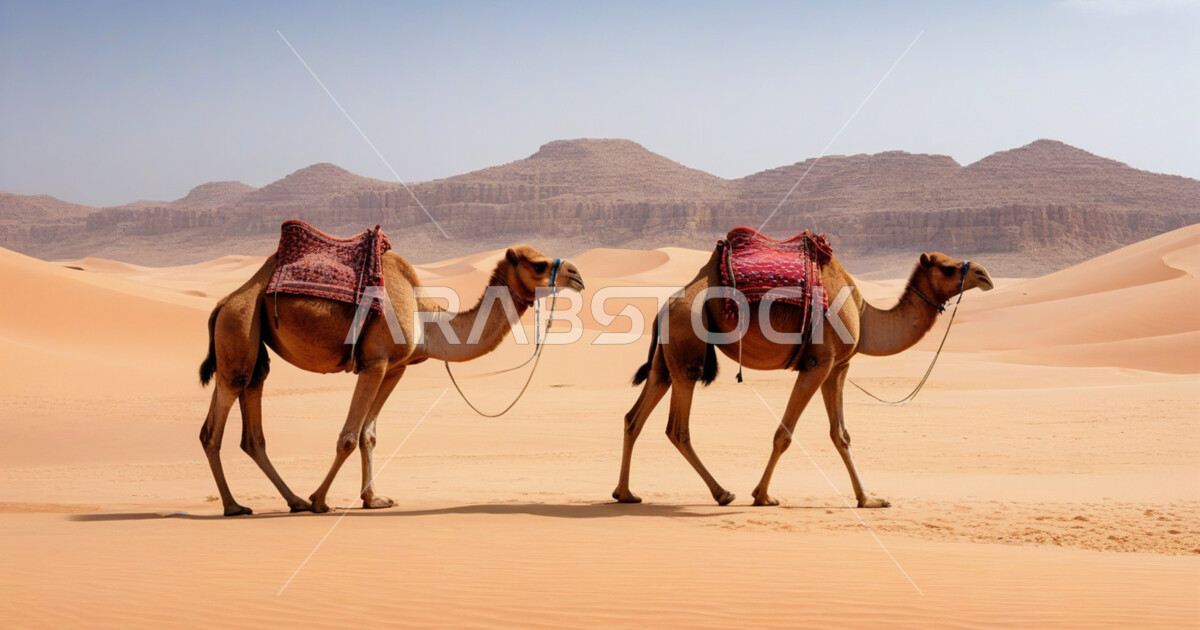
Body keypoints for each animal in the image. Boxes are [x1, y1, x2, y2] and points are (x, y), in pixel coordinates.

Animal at [199, 245, 584, 516]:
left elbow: (368, 435)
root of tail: (222, 302)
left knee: (251, 427)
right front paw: (320, 499)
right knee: (213, 428)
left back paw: (292, 500)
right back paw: (236, 506)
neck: (426, 318)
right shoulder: (374, 364)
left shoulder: (395, 368)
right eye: (539, 264)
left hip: (252, 343)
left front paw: (373, 499)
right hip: (239, 327)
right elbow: (348, 437)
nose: (577, 274)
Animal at [613, 249, 992, 508]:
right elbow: (784, 433)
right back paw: (723, 492)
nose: (985, 274)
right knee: (677, 428)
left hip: (666, 361)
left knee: (634, 417)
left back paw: (625, 493)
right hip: (688, 352)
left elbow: (841, 435)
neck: (865, 315)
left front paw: (868, 498)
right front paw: (763, 495)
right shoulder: (817, 363)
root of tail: (665, 306)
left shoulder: (838, 368)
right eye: (948, 267)